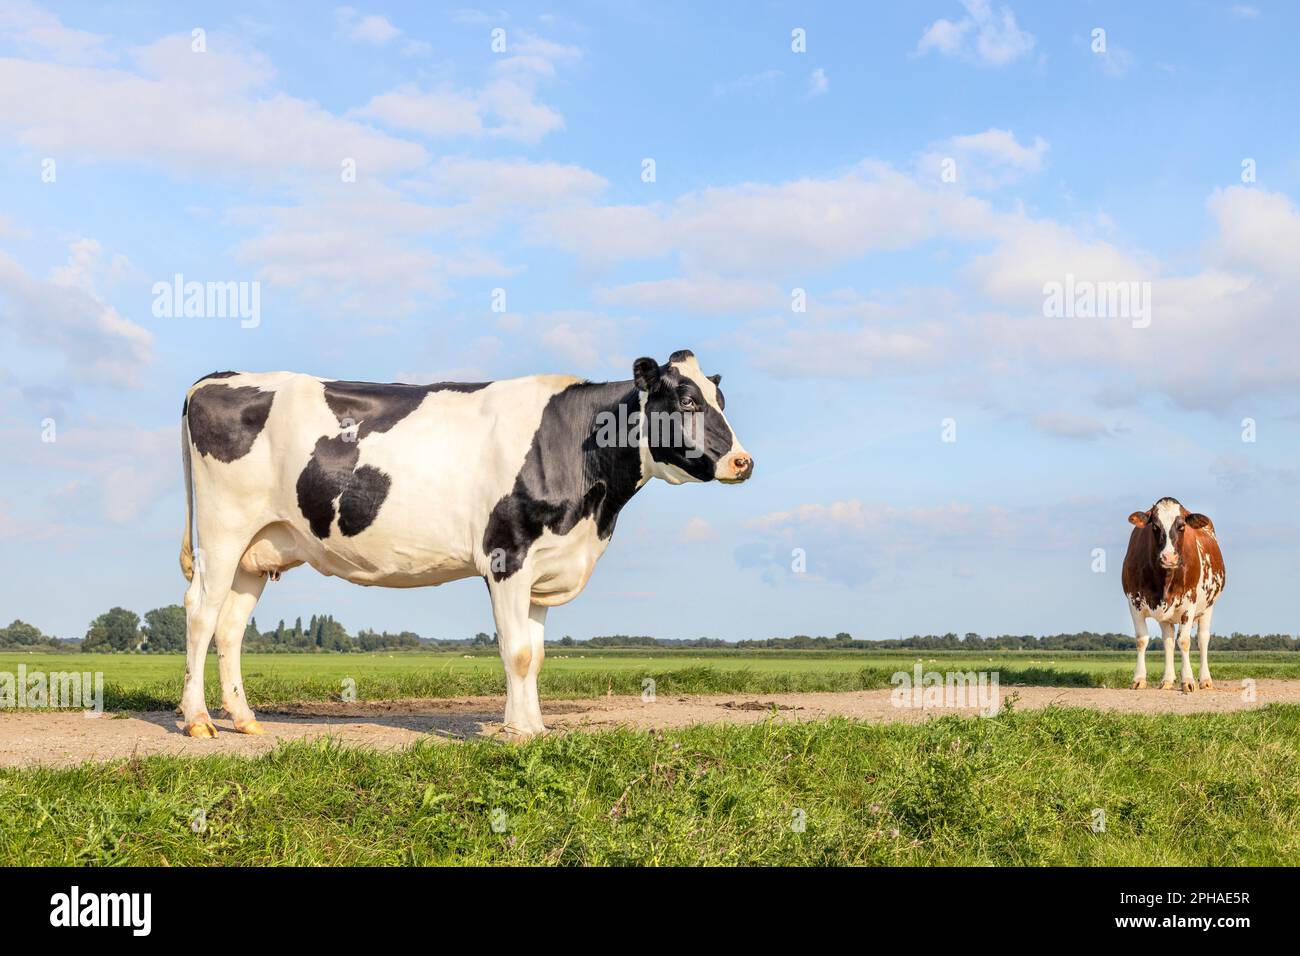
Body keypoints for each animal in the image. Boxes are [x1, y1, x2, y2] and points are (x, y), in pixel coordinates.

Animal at [177, 350, 753, 738]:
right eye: (686, 400)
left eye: (722, 401)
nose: (743, 461)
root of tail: (215, 378)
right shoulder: (507, 554)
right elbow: (516, 652)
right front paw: (519, 733)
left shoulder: (544, 565)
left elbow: (536, 656)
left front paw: (533, 726)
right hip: (223, 530)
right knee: (201, 612)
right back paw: (199, 720)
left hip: (259, 547)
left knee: (230, 627)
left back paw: (245, 720)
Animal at [1122, 497, 1225, 693]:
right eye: (1155, 526)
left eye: (1182, 526)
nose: (1169, 557)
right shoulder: (1133, 602)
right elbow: (1142, 640)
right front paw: (1139, 679)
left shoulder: (1189, 604)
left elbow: (1184, 641)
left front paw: (1188, 680)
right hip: (1166, 617)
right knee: (1168, 641)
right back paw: (1167, 680)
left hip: (1208, 607)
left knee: (1203, 639)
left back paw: (1205, 680)